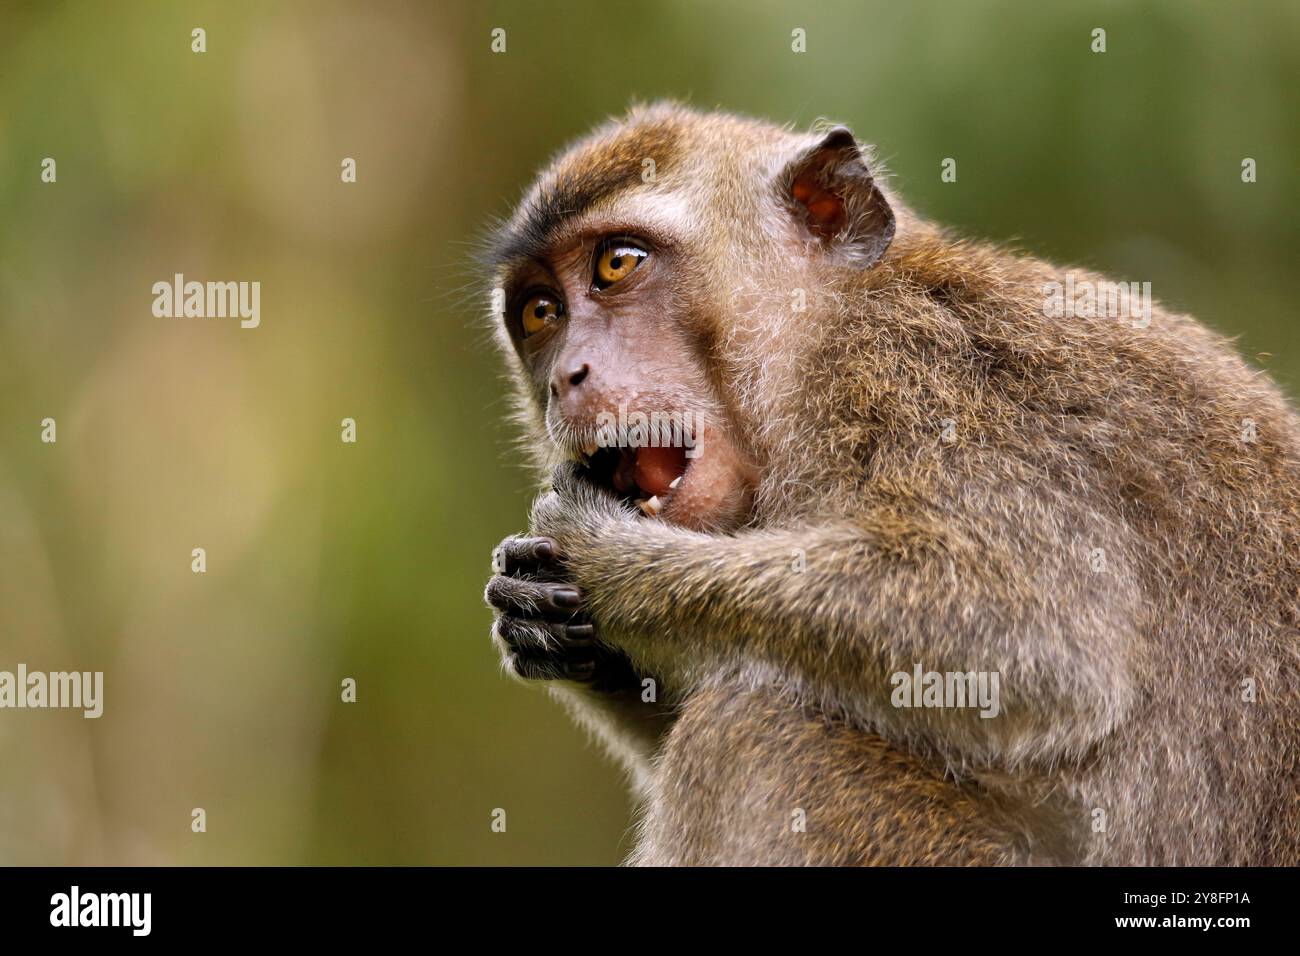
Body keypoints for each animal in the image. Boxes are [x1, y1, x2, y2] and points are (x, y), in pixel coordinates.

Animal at [482, 103, 1299, 866]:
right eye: (540, 312)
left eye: (618, 264)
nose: (564, 376)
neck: (828, 325)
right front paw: (553, 619)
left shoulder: (920, 379)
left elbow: (1040, 636)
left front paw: (607, 561)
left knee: (752, 734)